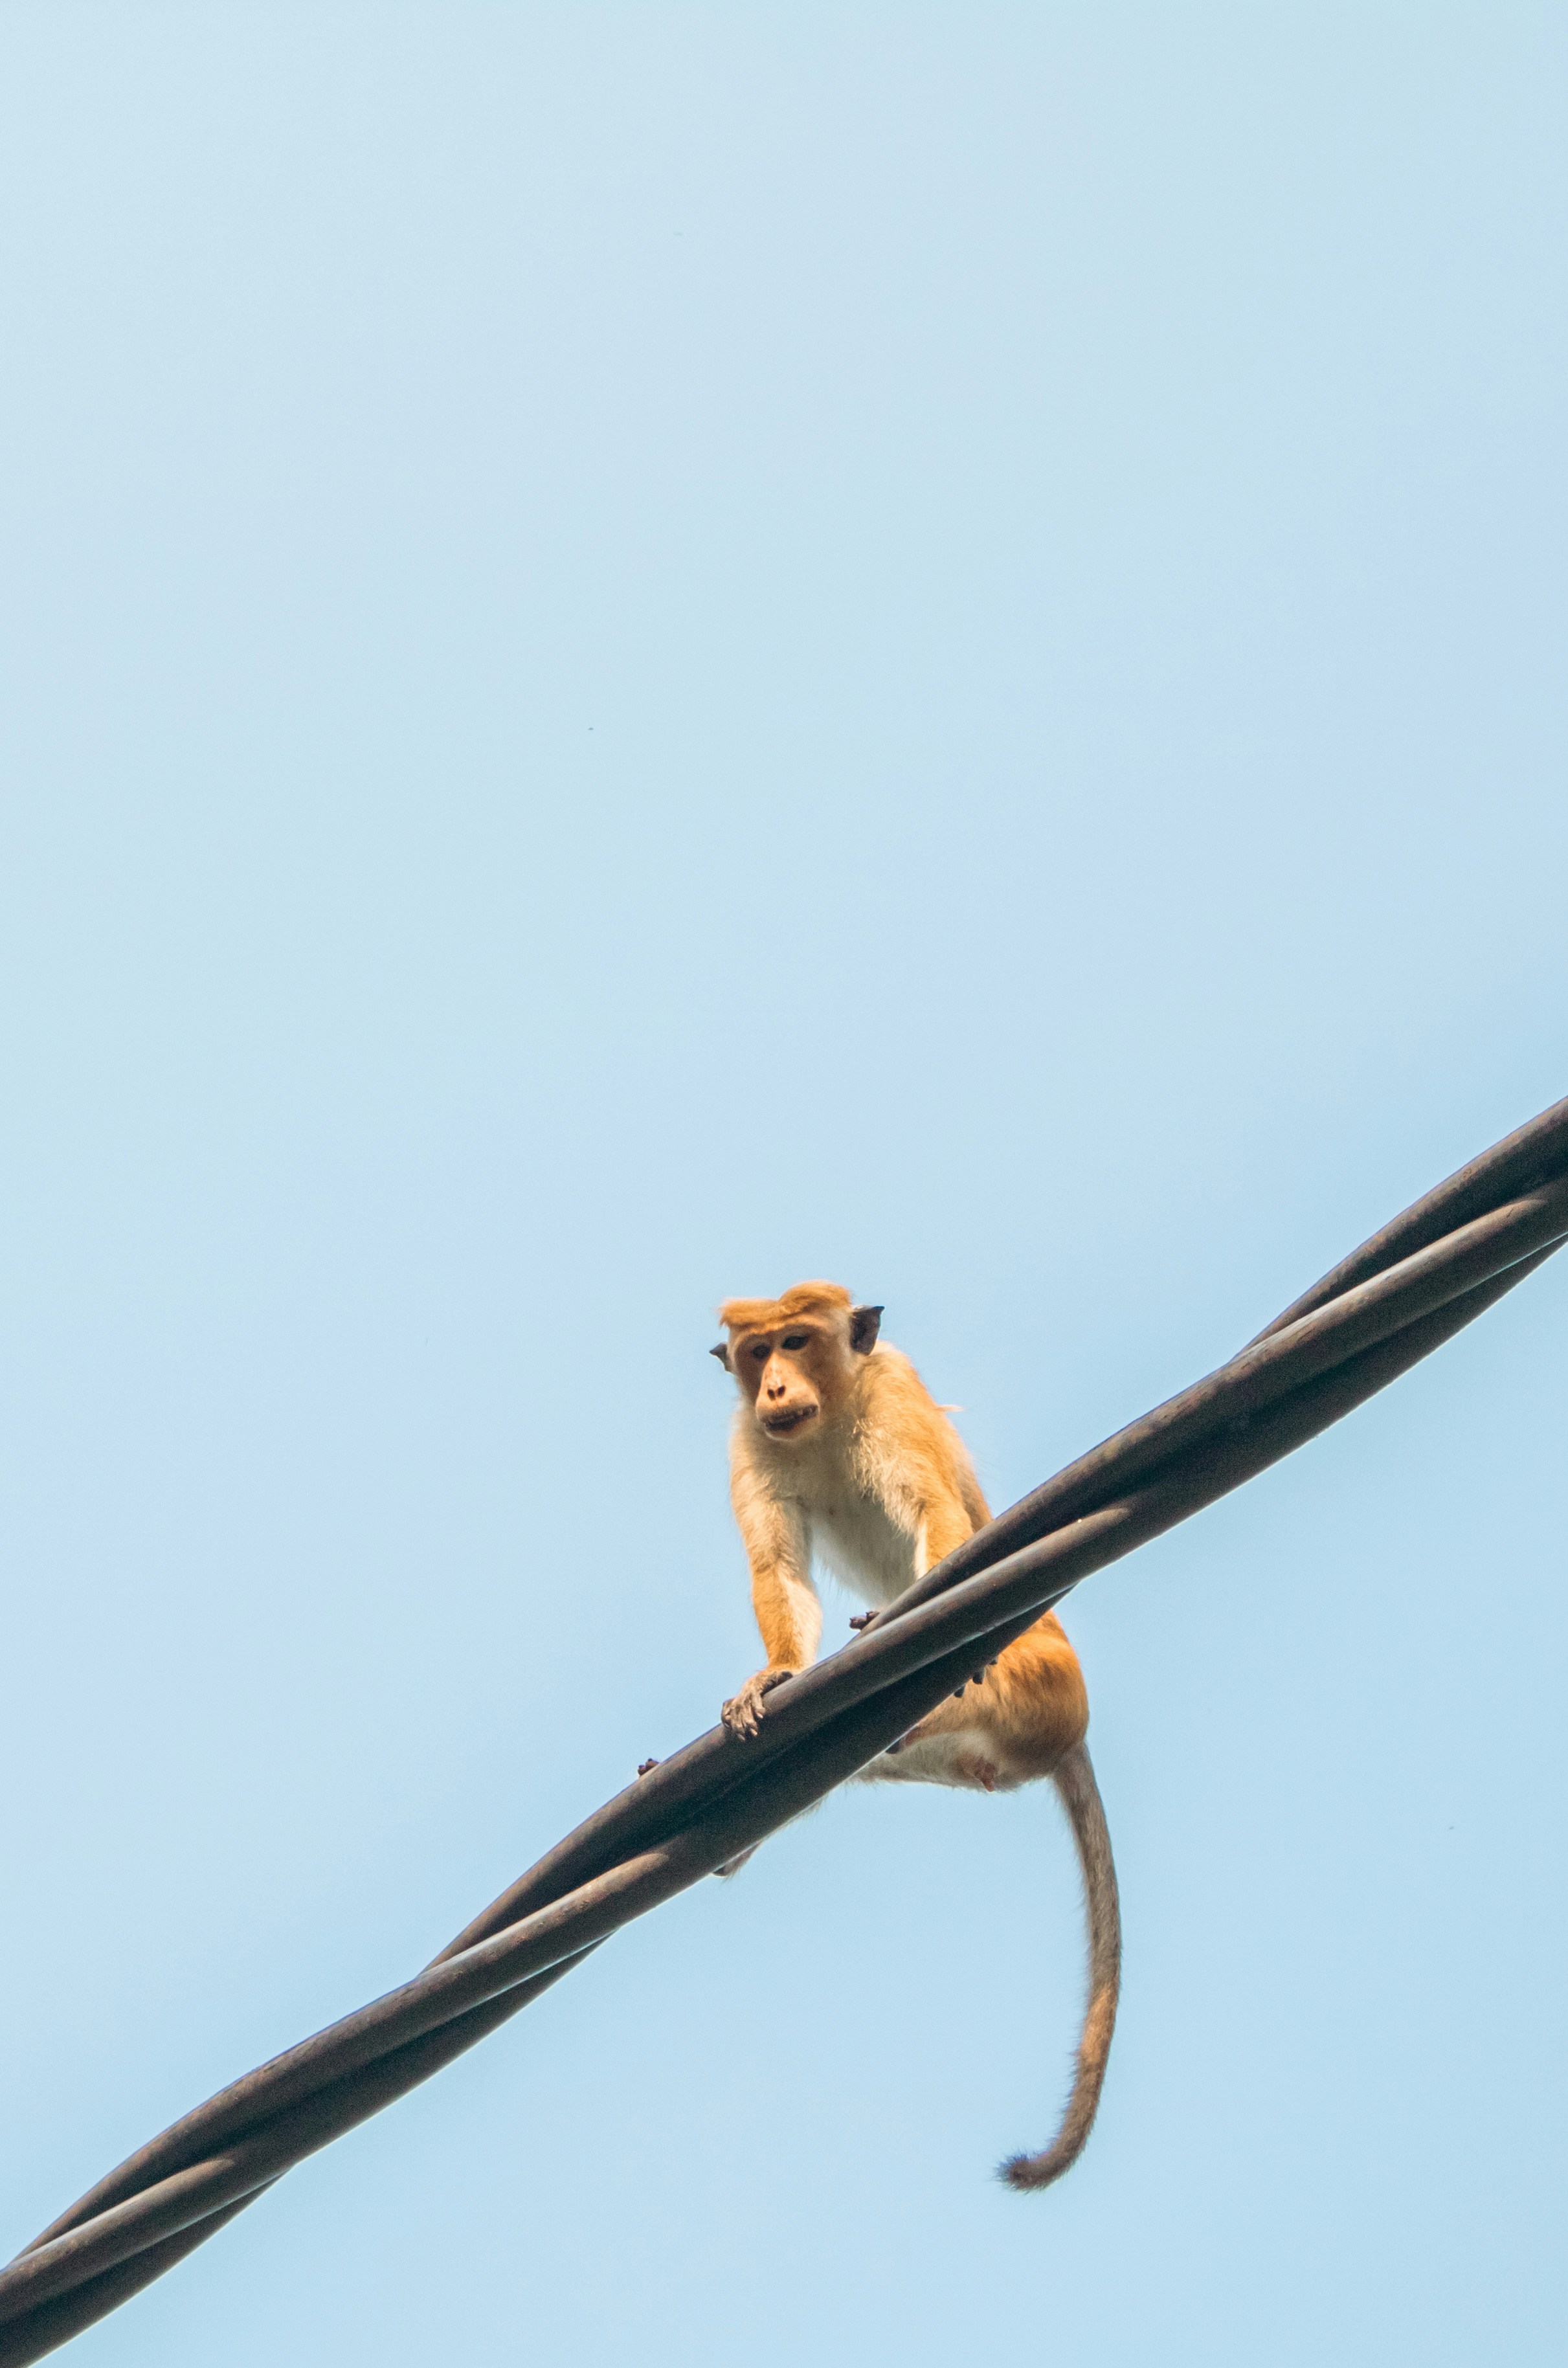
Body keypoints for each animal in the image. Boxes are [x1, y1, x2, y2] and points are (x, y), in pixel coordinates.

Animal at [711, 1280, 1119, 2192]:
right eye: (758, 1353)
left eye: (796, 1341)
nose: (775, 1386)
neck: (828, 1417)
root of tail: (1071, 1730)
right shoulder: (749, 1442)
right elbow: (777, 1570)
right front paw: (775, 1676)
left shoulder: (894, 1400)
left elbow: (933, 1509)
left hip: (1043, 1682)